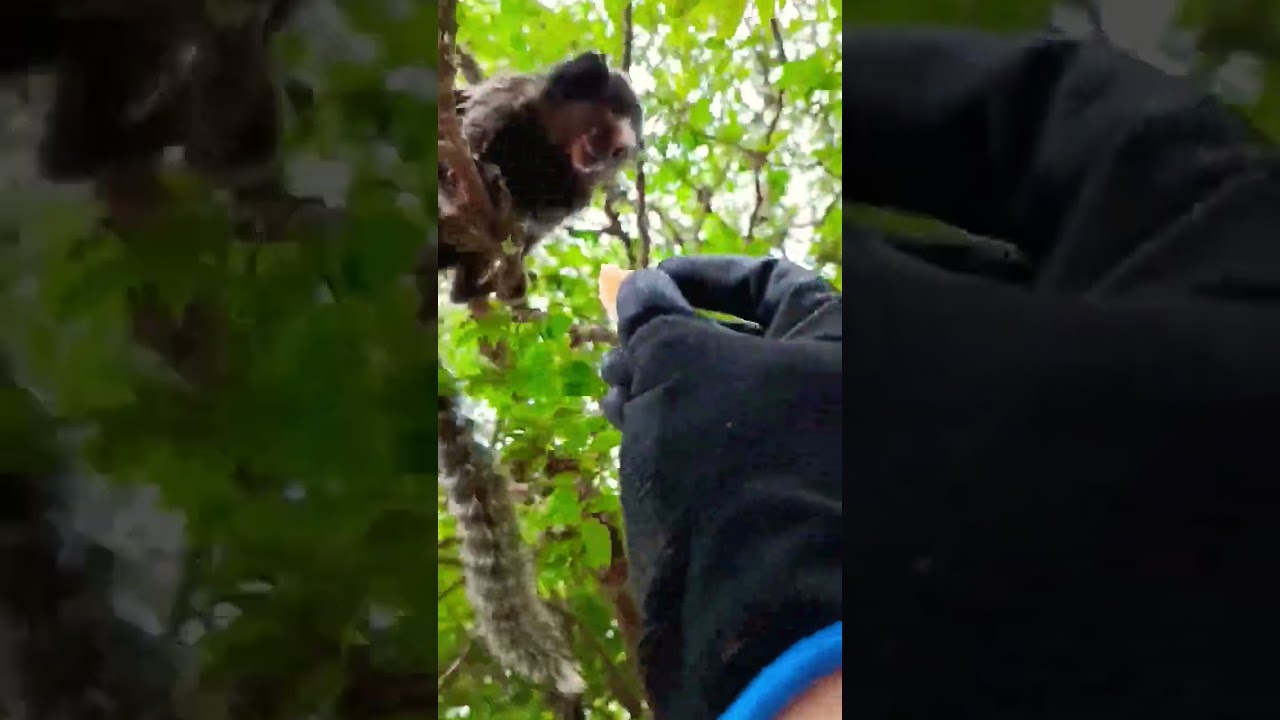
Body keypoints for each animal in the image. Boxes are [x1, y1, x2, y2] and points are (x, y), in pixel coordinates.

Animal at [439, 51, 644, 303]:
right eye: (601, 133)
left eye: (617, 152)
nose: (602, 157)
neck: (549, 142)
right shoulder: (502, 98)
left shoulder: (580, 187)